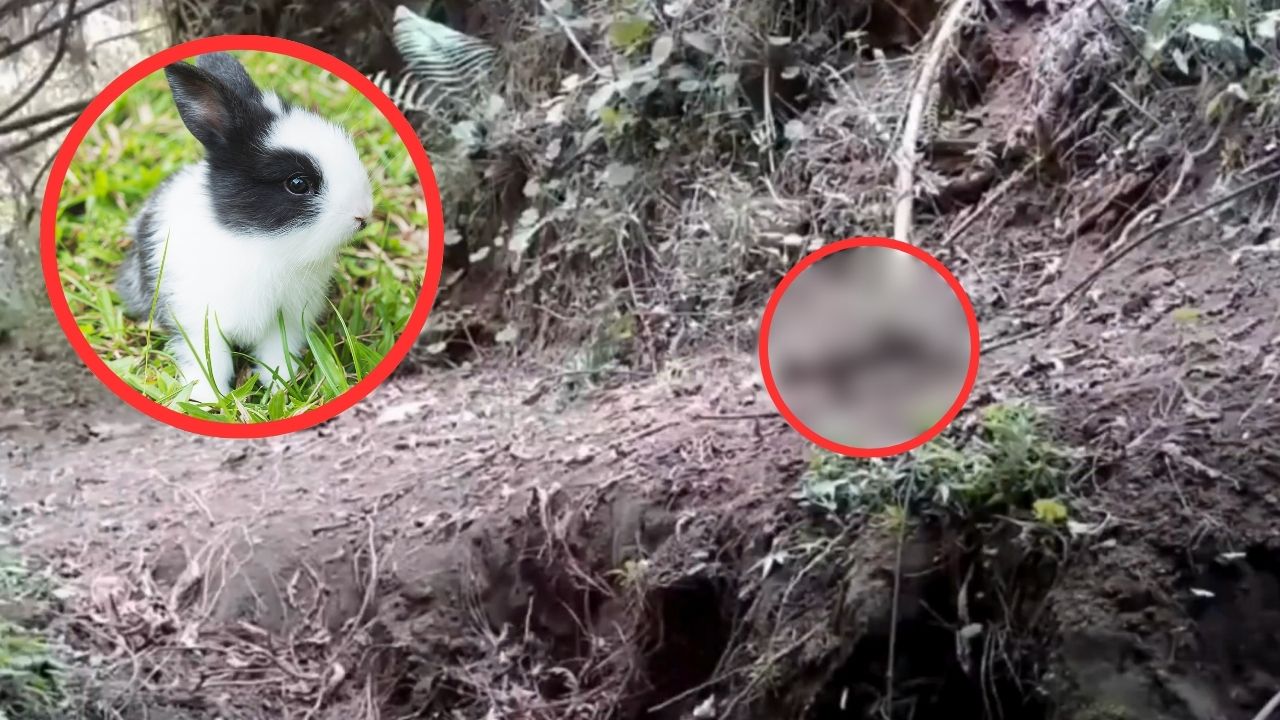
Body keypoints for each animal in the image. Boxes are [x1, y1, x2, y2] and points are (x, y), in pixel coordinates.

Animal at [116, 52, 374, 404]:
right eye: (298, 184)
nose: (362, 214)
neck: (260, 243)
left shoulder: (285, 321)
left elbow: (276, 355)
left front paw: (283, 388)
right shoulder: (198, 321)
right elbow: (209, 361)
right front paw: (207, 400)